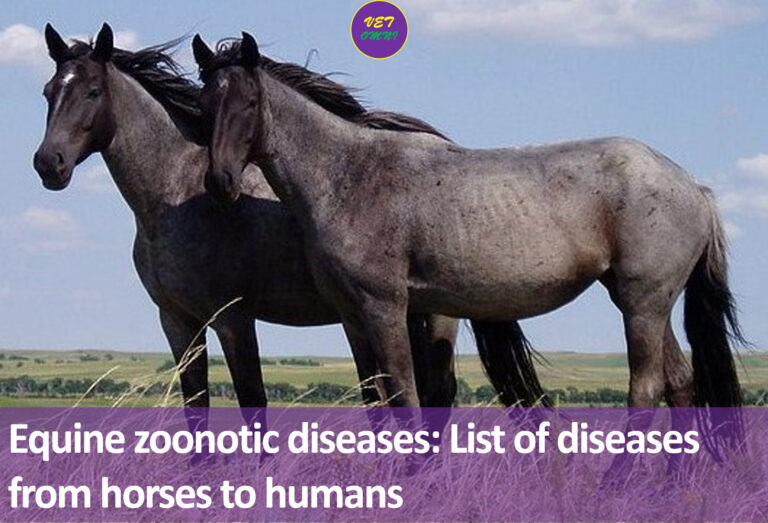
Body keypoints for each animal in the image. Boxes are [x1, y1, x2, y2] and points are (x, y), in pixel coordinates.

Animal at [193, 32, 744, 455]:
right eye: (203, 105)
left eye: (249, 103)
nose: (220, 182)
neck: (348, 176)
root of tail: (692, 186)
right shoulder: (351, 315)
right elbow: (377, 403)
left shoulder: (385, 307)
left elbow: (405, 399)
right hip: (648, 302)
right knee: (680, 384)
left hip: (641, 305)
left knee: (646, 390)